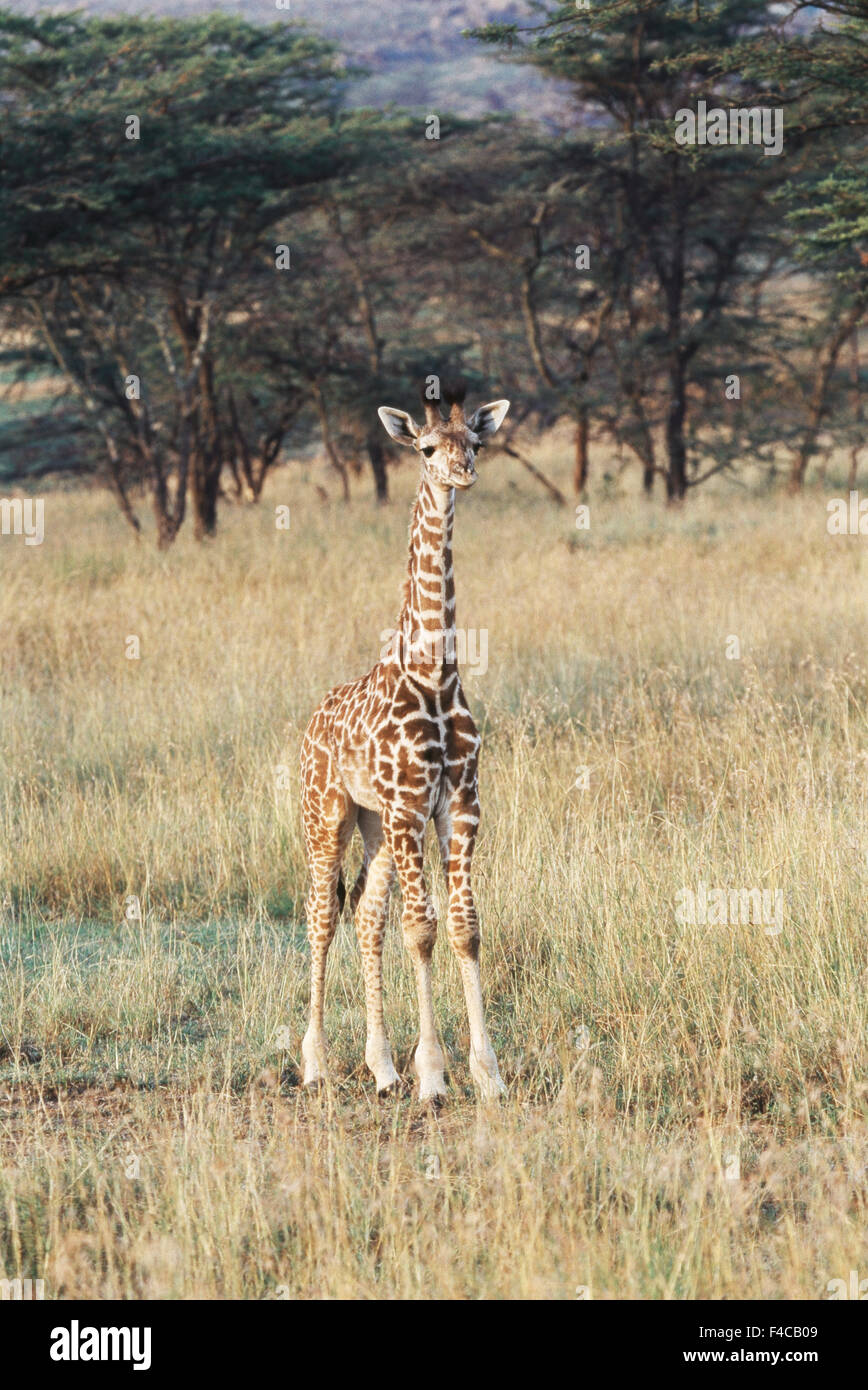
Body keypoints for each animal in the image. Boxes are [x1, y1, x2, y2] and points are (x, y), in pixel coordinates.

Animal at [299, 381, 510, 1103]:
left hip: (376, 826)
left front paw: (487, 1074)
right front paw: (436, 1076)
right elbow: (421, 932)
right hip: (328, 816)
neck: (434, 672)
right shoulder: (410, 804)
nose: (463, 473)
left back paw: (382, 1067)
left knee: (366, 915)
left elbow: (466, 930)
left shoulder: (459, 805)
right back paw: (315, 1063)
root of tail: (310, 724)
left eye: (474, 442)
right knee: (322, 916)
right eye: (424, 447)